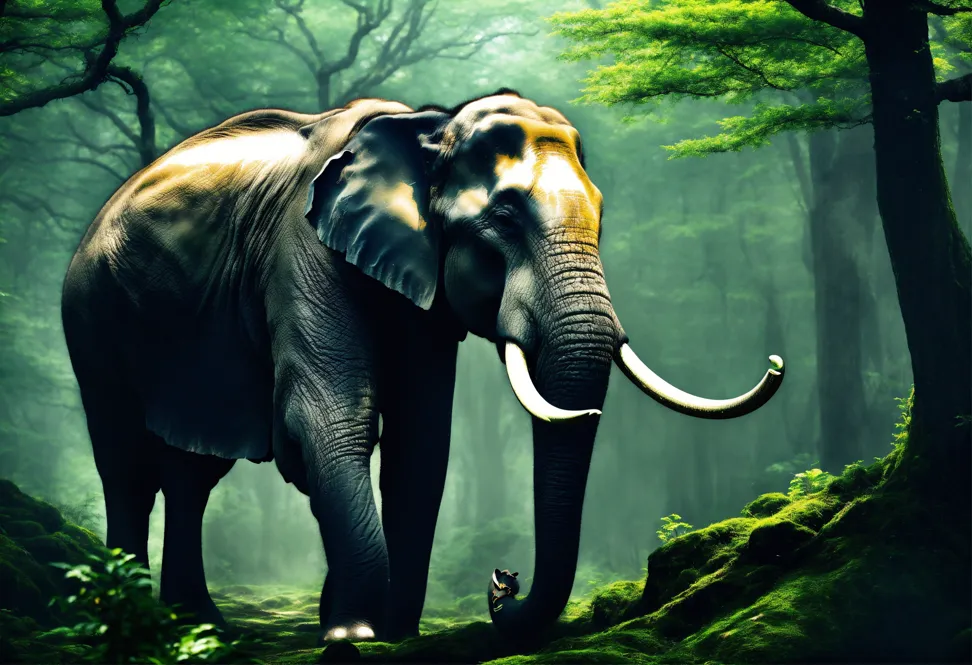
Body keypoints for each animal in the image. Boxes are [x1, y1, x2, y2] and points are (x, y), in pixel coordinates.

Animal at [61, 89, 784, 643]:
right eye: (504, 218)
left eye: (603, 218)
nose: (502, 578)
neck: (428, 129)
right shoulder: (300, 247)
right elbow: (331, 418)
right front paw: (351, 634)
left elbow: (422, 443)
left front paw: (389, 632)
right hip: (92, 317)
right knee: (127, 468)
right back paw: (130, 623)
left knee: (191, 474)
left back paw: (199, 624)